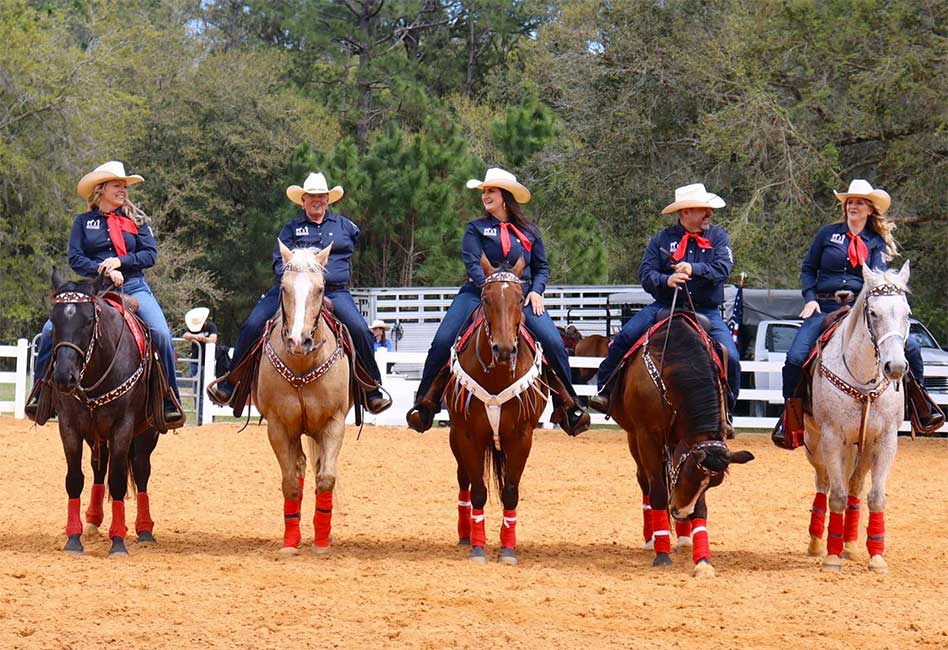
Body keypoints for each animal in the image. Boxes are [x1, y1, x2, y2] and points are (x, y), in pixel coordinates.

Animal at [44, 270, 162, 557]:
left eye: (89, 320)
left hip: (146, 433)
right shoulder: (69, 427)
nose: (64, 377)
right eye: (54, 319)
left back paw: (145, 530)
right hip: (96, 434)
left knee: (141, 471)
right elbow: (74, 479)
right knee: (99, 468)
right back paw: (92, 521)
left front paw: (118, 542)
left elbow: (118, 481)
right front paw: (73, 539)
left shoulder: (123, 427)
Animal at [255, 241, 351, 556]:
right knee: (297, 467)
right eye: (284, 287)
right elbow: (289, 484)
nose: (299, 341)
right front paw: (289, 543)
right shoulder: (278, 427)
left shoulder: (334, 423)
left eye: (320, 289)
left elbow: (326, 478)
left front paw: (321, 543)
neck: (302, 364)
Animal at [445, 256, 548, 566]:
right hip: (456, 438)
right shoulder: (468, 436)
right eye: (485, 298)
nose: (503, 349)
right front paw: (478, 548)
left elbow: (510, 492)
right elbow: (478, 491)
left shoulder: (522, 437)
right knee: (464, 480)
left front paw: (507, 550)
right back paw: (465, 534)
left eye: (519, 298)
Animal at [610, 311, 754, 577]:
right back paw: (652, 539)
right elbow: (657, 491)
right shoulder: (647, 437)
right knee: (645, 482)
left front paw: (703, 561)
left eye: (713, 485)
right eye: (688, 476)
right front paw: (662, 554)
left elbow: (701, 507)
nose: (682, 513)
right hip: (634, 437)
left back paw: (684, 538)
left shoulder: (686, 442)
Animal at [803, 262, 911, 573]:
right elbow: (836, 496)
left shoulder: (886, 440)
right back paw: (818, 542)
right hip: (815, 444)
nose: (895, 367)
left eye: (907, 313)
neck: (863, 380)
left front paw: (876, 557)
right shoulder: (831, 438)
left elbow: (875, 497)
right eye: (873, 313)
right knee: (824, 483)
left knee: (854, 486)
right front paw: (831, 557)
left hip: (861, 449)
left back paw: (850, 545)